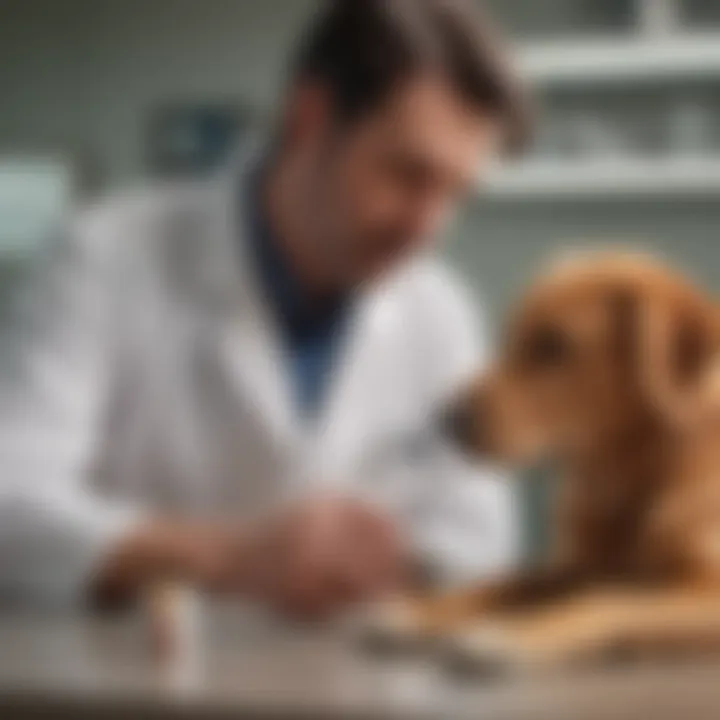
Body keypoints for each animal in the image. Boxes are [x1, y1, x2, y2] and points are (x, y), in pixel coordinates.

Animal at [372, 252, 720, 676]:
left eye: (554, 346)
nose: (445, 420)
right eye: (509, 335)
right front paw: (420, 614)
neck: (634, 477)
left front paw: (511, 635)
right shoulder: (579, 566)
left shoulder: (704, 588)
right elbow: (503, 581)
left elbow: (607, 600)